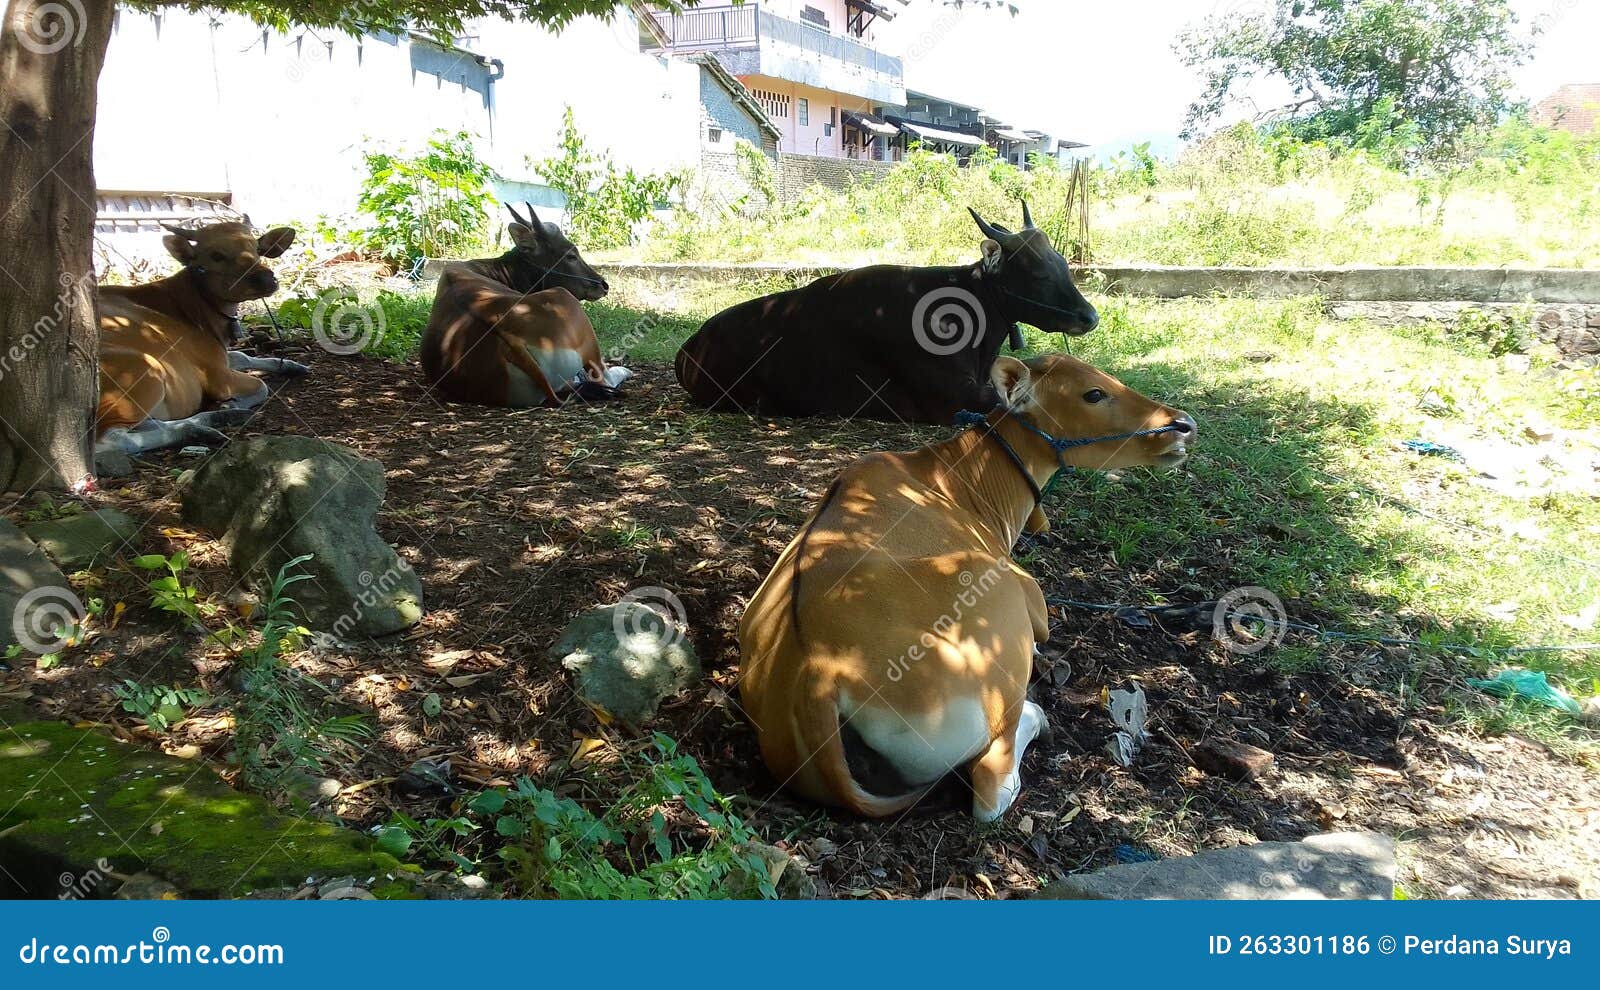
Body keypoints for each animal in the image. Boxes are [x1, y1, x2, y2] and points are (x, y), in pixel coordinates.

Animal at [96, 221, 308, 460]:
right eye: (216, 255)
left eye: (256, 248)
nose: (266, 278)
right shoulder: (217, 376)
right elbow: (261, 385)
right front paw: (229, 404)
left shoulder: (219, 357)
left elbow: (242, 355)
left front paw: (291, 364)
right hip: (144, 374)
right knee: (114, 439)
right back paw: (200, 428)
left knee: (152, 424)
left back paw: (213, 420)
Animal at [738, 353, 1195, 821]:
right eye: (1094, 393)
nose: (1183, 424)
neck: (952, 479)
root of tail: (819, 675)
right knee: (991, 788)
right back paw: (1035, 718)